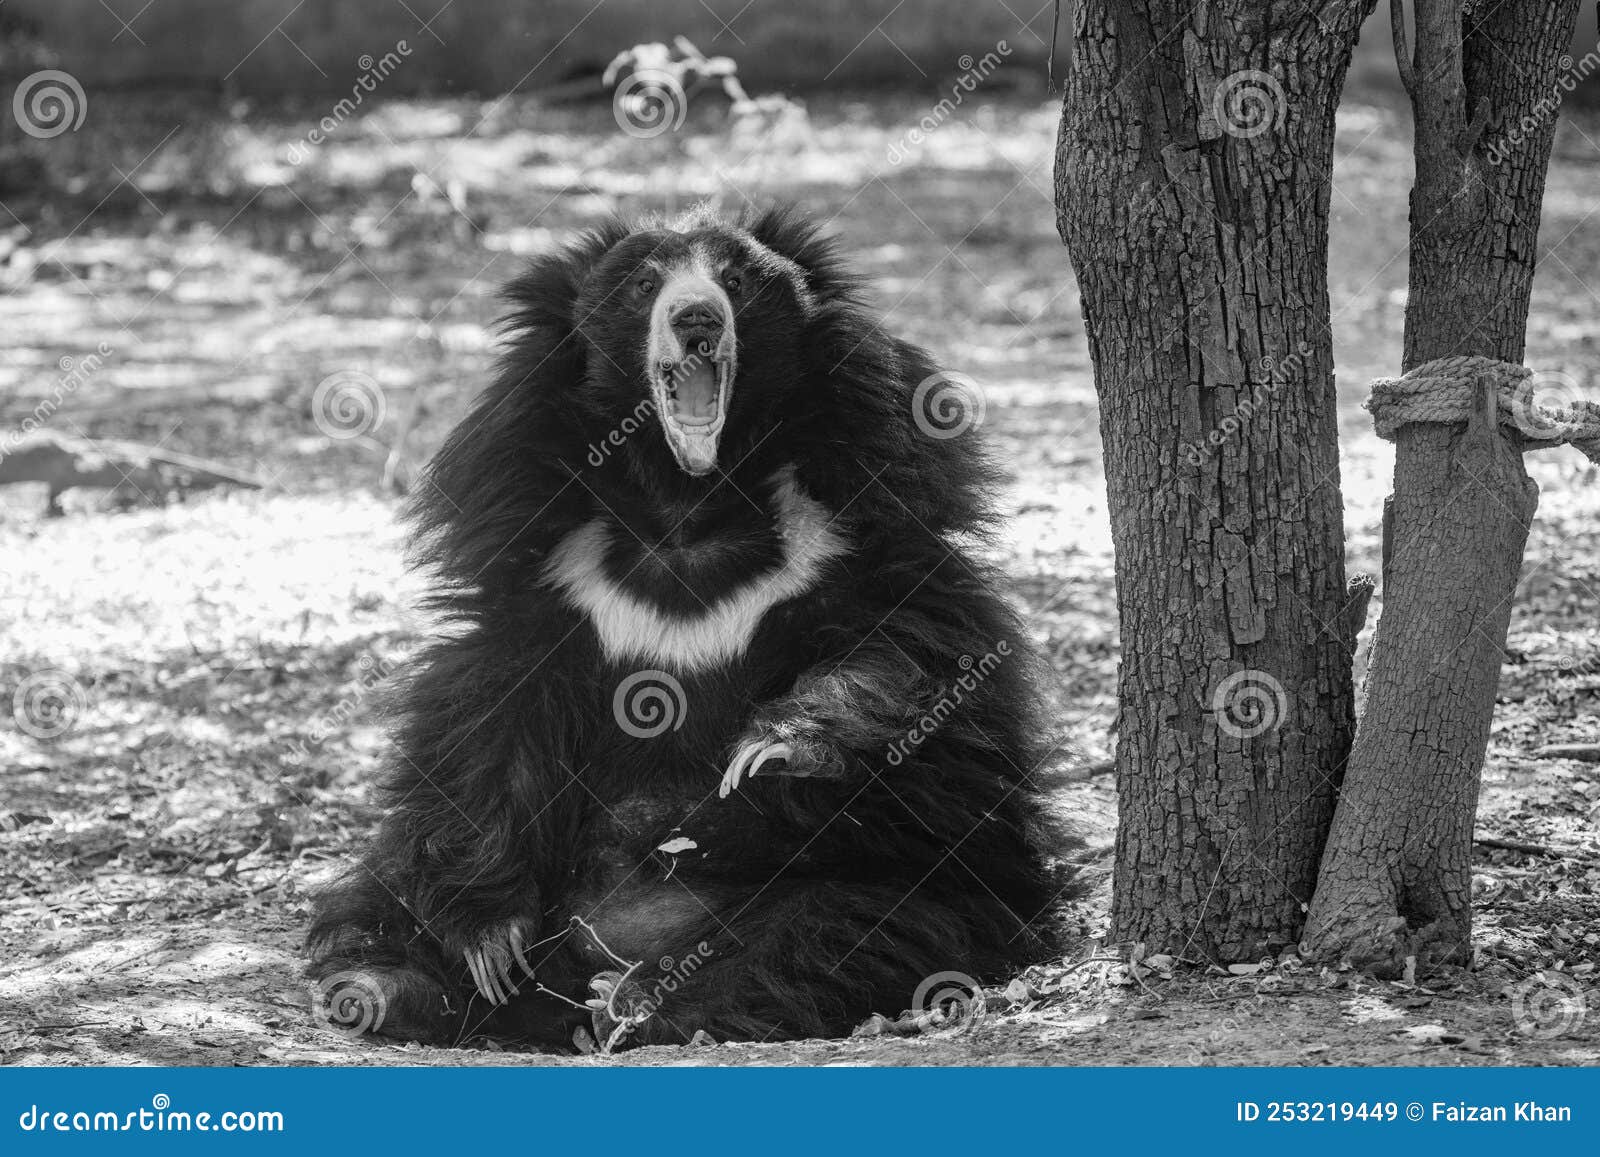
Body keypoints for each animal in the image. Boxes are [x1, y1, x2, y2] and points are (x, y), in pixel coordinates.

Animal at [306, 205, 1067, 1051]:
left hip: (901, 894)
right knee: (382, 896)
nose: (697, 317)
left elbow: (910, 663)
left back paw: (635, 999)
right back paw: (391, 986)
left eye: (735, 278)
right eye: (645, 284)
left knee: (844, 928)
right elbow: (489, 720)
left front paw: (772, 749)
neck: (690, 499)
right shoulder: (542, 569)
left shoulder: (867, 528)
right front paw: (488, 942)